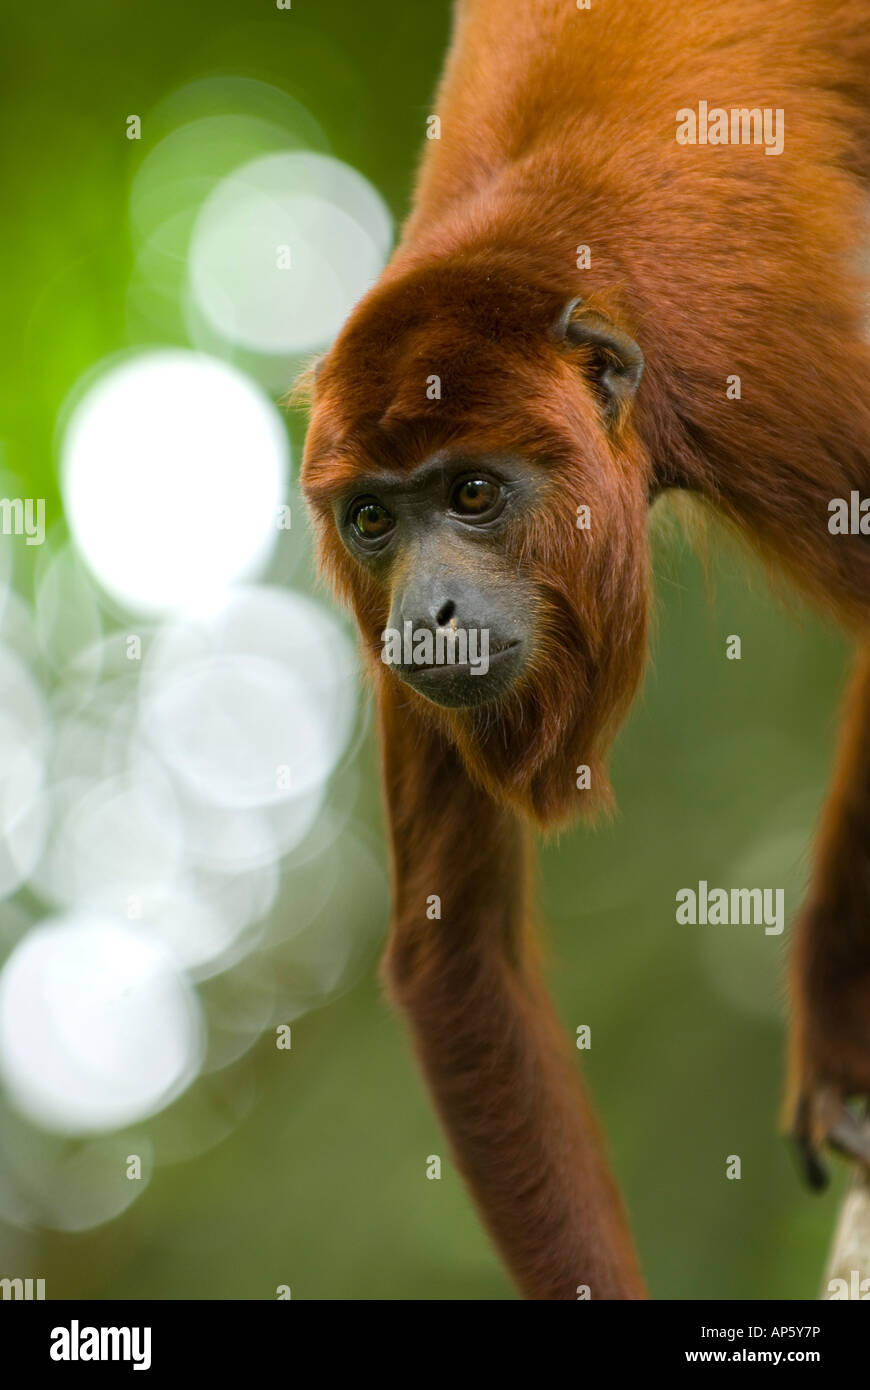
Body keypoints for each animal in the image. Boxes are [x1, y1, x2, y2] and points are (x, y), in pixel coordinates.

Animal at [299, 0, 870, 1299]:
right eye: (373, 519)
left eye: (473, 493)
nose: (428, 612)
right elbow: (459, 961)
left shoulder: (772, 376)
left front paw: (839, 1027)